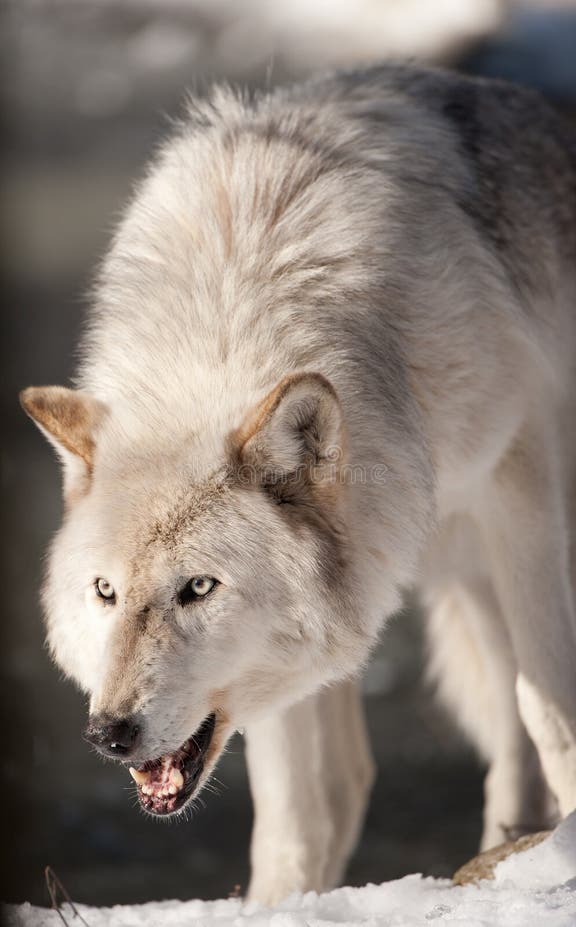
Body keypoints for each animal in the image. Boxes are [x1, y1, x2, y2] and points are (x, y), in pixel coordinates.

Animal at [21, 63, 576, 905]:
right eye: (105, 592)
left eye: (199, 587)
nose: (109, 733)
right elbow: (298, 814)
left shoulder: (519, 473)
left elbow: (551, 708)